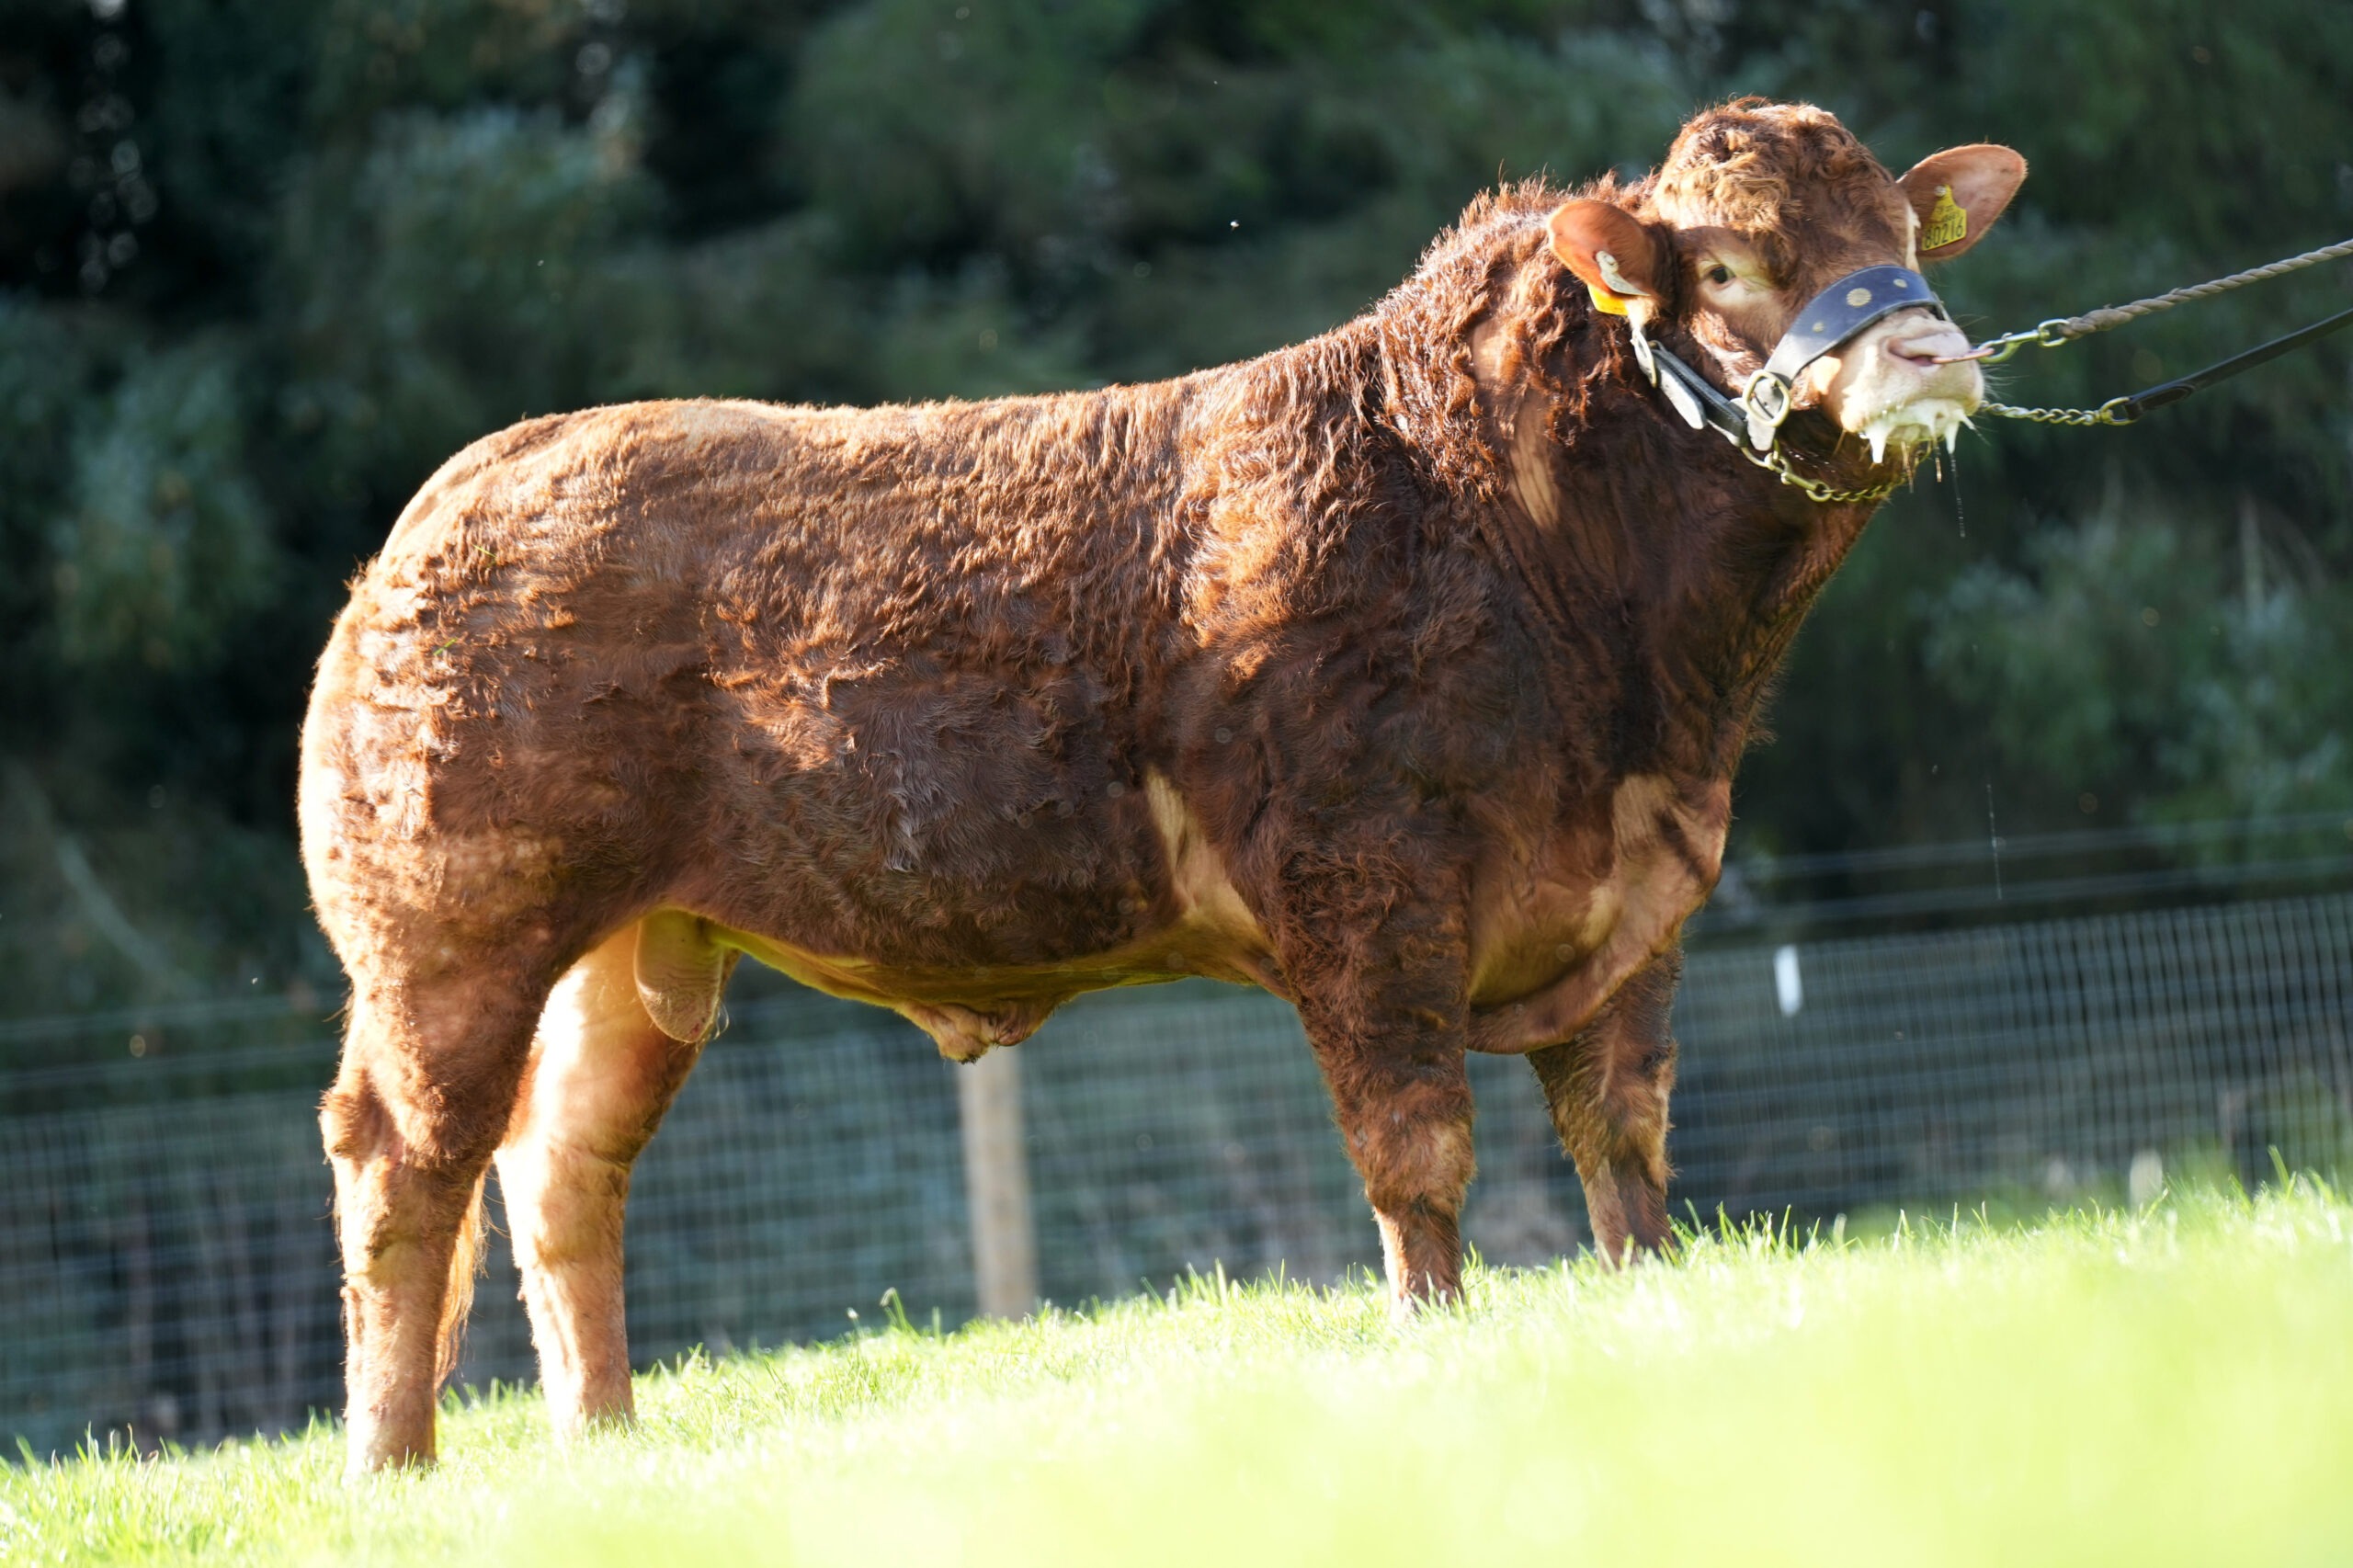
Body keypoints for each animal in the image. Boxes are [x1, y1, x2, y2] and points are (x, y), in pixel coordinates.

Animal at [301, 97, 2025, 1472]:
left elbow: (1627, 1144)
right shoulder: (1366, 890)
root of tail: (472, 483)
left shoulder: (1635, 902)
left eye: (1900, 235)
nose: (1935, 349)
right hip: (451, 933)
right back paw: (395, 1463)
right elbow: (1418, 1152)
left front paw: (1646, 1307)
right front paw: (1437, 1342)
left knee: (562, 1172)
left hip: (637, 949)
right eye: (1732, 266)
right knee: (405, 1161)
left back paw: (603, 1440)